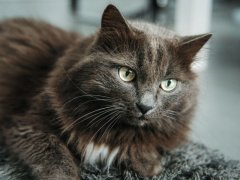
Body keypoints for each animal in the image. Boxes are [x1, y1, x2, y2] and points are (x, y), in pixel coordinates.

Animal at [0, 4, 210, 180]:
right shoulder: (27, 123)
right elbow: (54, 153)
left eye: (168, 84)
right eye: (126, 74)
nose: (145, 106)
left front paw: (149, 165)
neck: (114, 131)